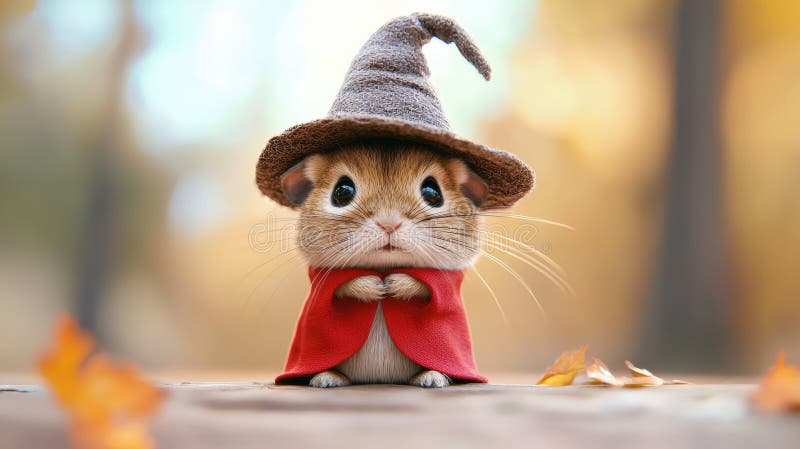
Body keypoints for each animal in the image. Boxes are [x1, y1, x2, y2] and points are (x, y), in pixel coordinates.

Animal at [280, 140, 488, 388]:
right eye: (342, 191)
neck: (384, 266)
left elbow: (430, 285)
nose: (389, 223)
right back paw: (327, 377)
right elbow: (342, 285)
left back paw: (431, 376)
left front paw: (393, 284)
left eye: (433, 192)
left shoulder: (446, 281)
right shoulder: (322, 279)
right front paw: (376, 287)